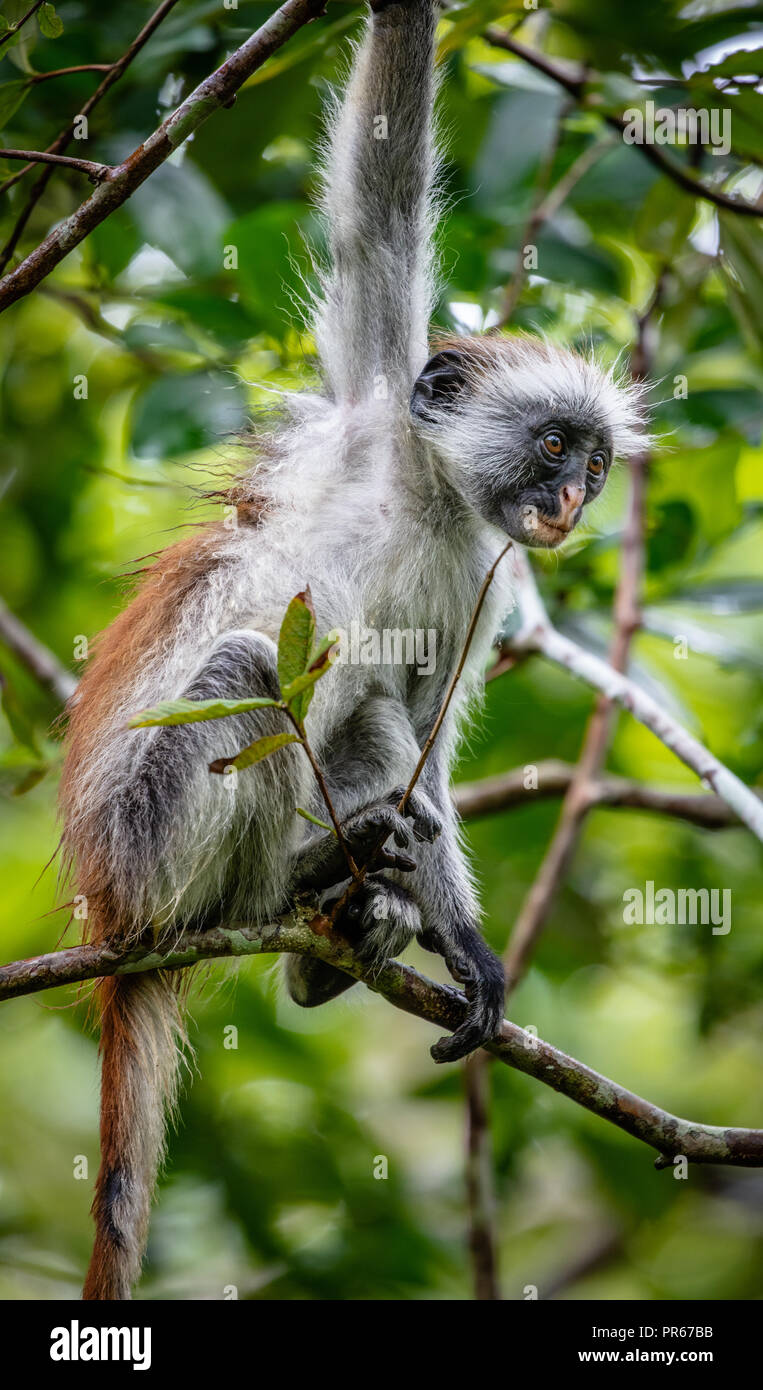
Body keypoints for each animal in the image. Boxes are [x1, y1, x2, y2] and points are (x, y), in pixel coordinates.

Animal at [59, 0, 645, 1300]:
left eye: (590, 467)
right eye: (551, 447)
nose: (567, 502)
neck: (421, 497)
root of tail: (111, 916)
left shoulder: (485, 572)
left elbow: (423, 739)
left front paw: (465, 945)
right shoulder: (372, 405)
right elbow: (377, 203)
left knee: (372, 711)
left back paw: (340, 910)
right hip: (141, 838)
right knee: (246, 667)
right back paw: (293, 886)